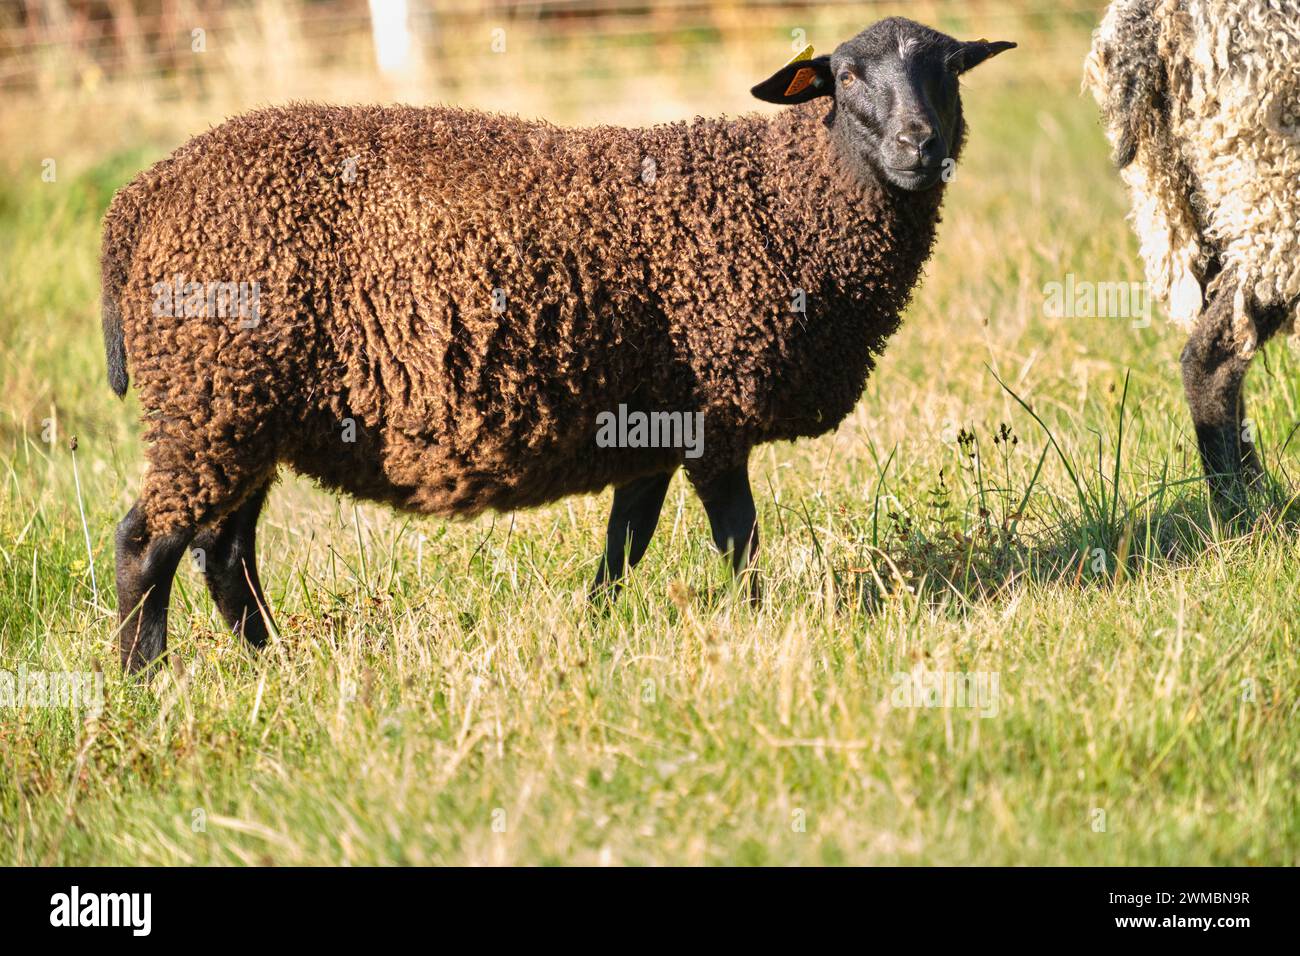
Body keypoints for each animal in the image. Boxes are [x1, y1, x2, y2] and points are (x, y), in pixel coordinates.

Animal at [102, 17, 1014, 671]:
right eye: (848, 75)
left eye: (947, 69)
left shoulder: (654, 420)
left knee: (225, 552)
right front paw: (759, 627)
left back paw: (274, 665)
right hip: (213, 395)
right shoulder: (712, 416)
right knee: (150, 544)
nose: (919, 146)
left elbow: (625, 542)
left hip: (241, 408)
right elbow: (738, 537)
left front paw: (595, 628)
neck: (784, 200)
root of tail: (144, 196)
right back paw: (145, 683)